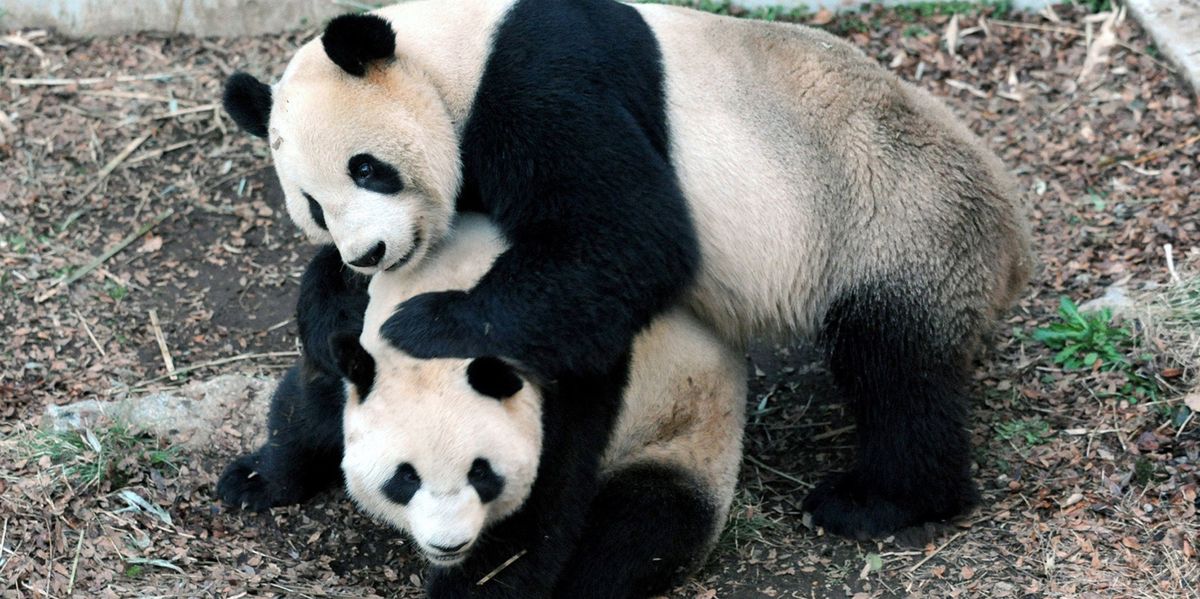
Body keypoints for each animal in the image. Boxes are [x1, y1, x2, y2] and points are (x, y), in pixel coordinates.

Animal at [223, 0, 1032, 538]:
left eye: (368, 168)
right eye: (312, 206)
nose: (369, 254)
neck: (456, 51)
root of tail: (1013, 238)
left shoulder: (542, 82)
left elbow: (629, 232)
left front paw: (428, 322)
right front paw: (328, 312)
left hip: (895, 228)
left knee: (895, 372)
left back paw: (878, 500)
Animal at [331, 215, 745, 598]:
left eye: (480, 472)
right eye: (406, 477)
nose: (449, 545)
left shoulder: (577, 372)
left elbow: (535, 520)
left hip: (684, 438)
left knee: (638, 527)